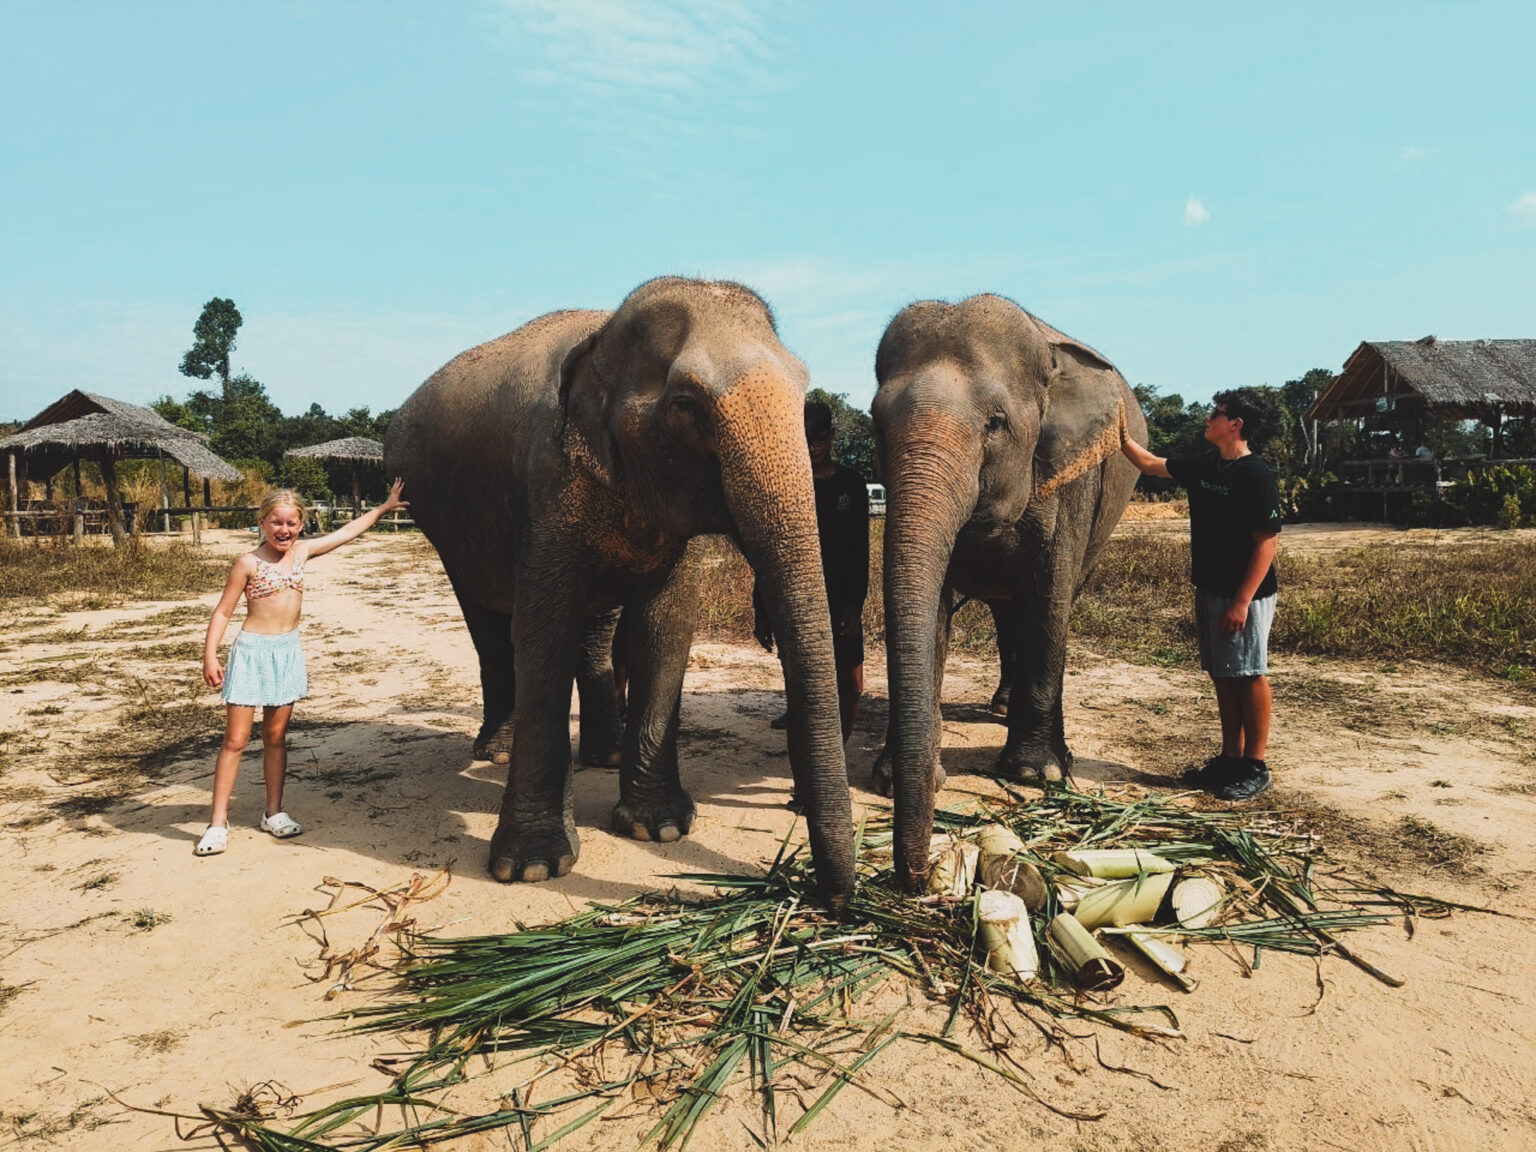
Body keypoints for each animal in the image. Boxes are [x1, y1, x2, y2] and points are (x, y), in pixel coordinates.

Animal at [384, 277, 856, 904]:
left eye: (804, 391)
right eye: (686, 405)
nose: (833, 899)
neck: (605, 335)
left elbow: (667, 625)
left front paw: (661, 828)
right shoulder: (546, 483)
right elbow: (542, 630)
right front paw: (531, 868)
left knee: (593, 628)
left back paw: (602, 756)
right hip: (440, 524)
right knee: (488, 625)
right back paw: (497, 749)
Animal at [871, 294, 1145, 892]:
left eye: (995, 424)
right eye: (875, 422)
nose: (914, 877)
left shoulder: (1071, 479)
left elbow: (1049, 598)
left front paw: (1034, 773)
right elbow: (932, 611)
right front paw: (896, 776)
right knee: (1005, 615)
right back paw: (1000, 704)